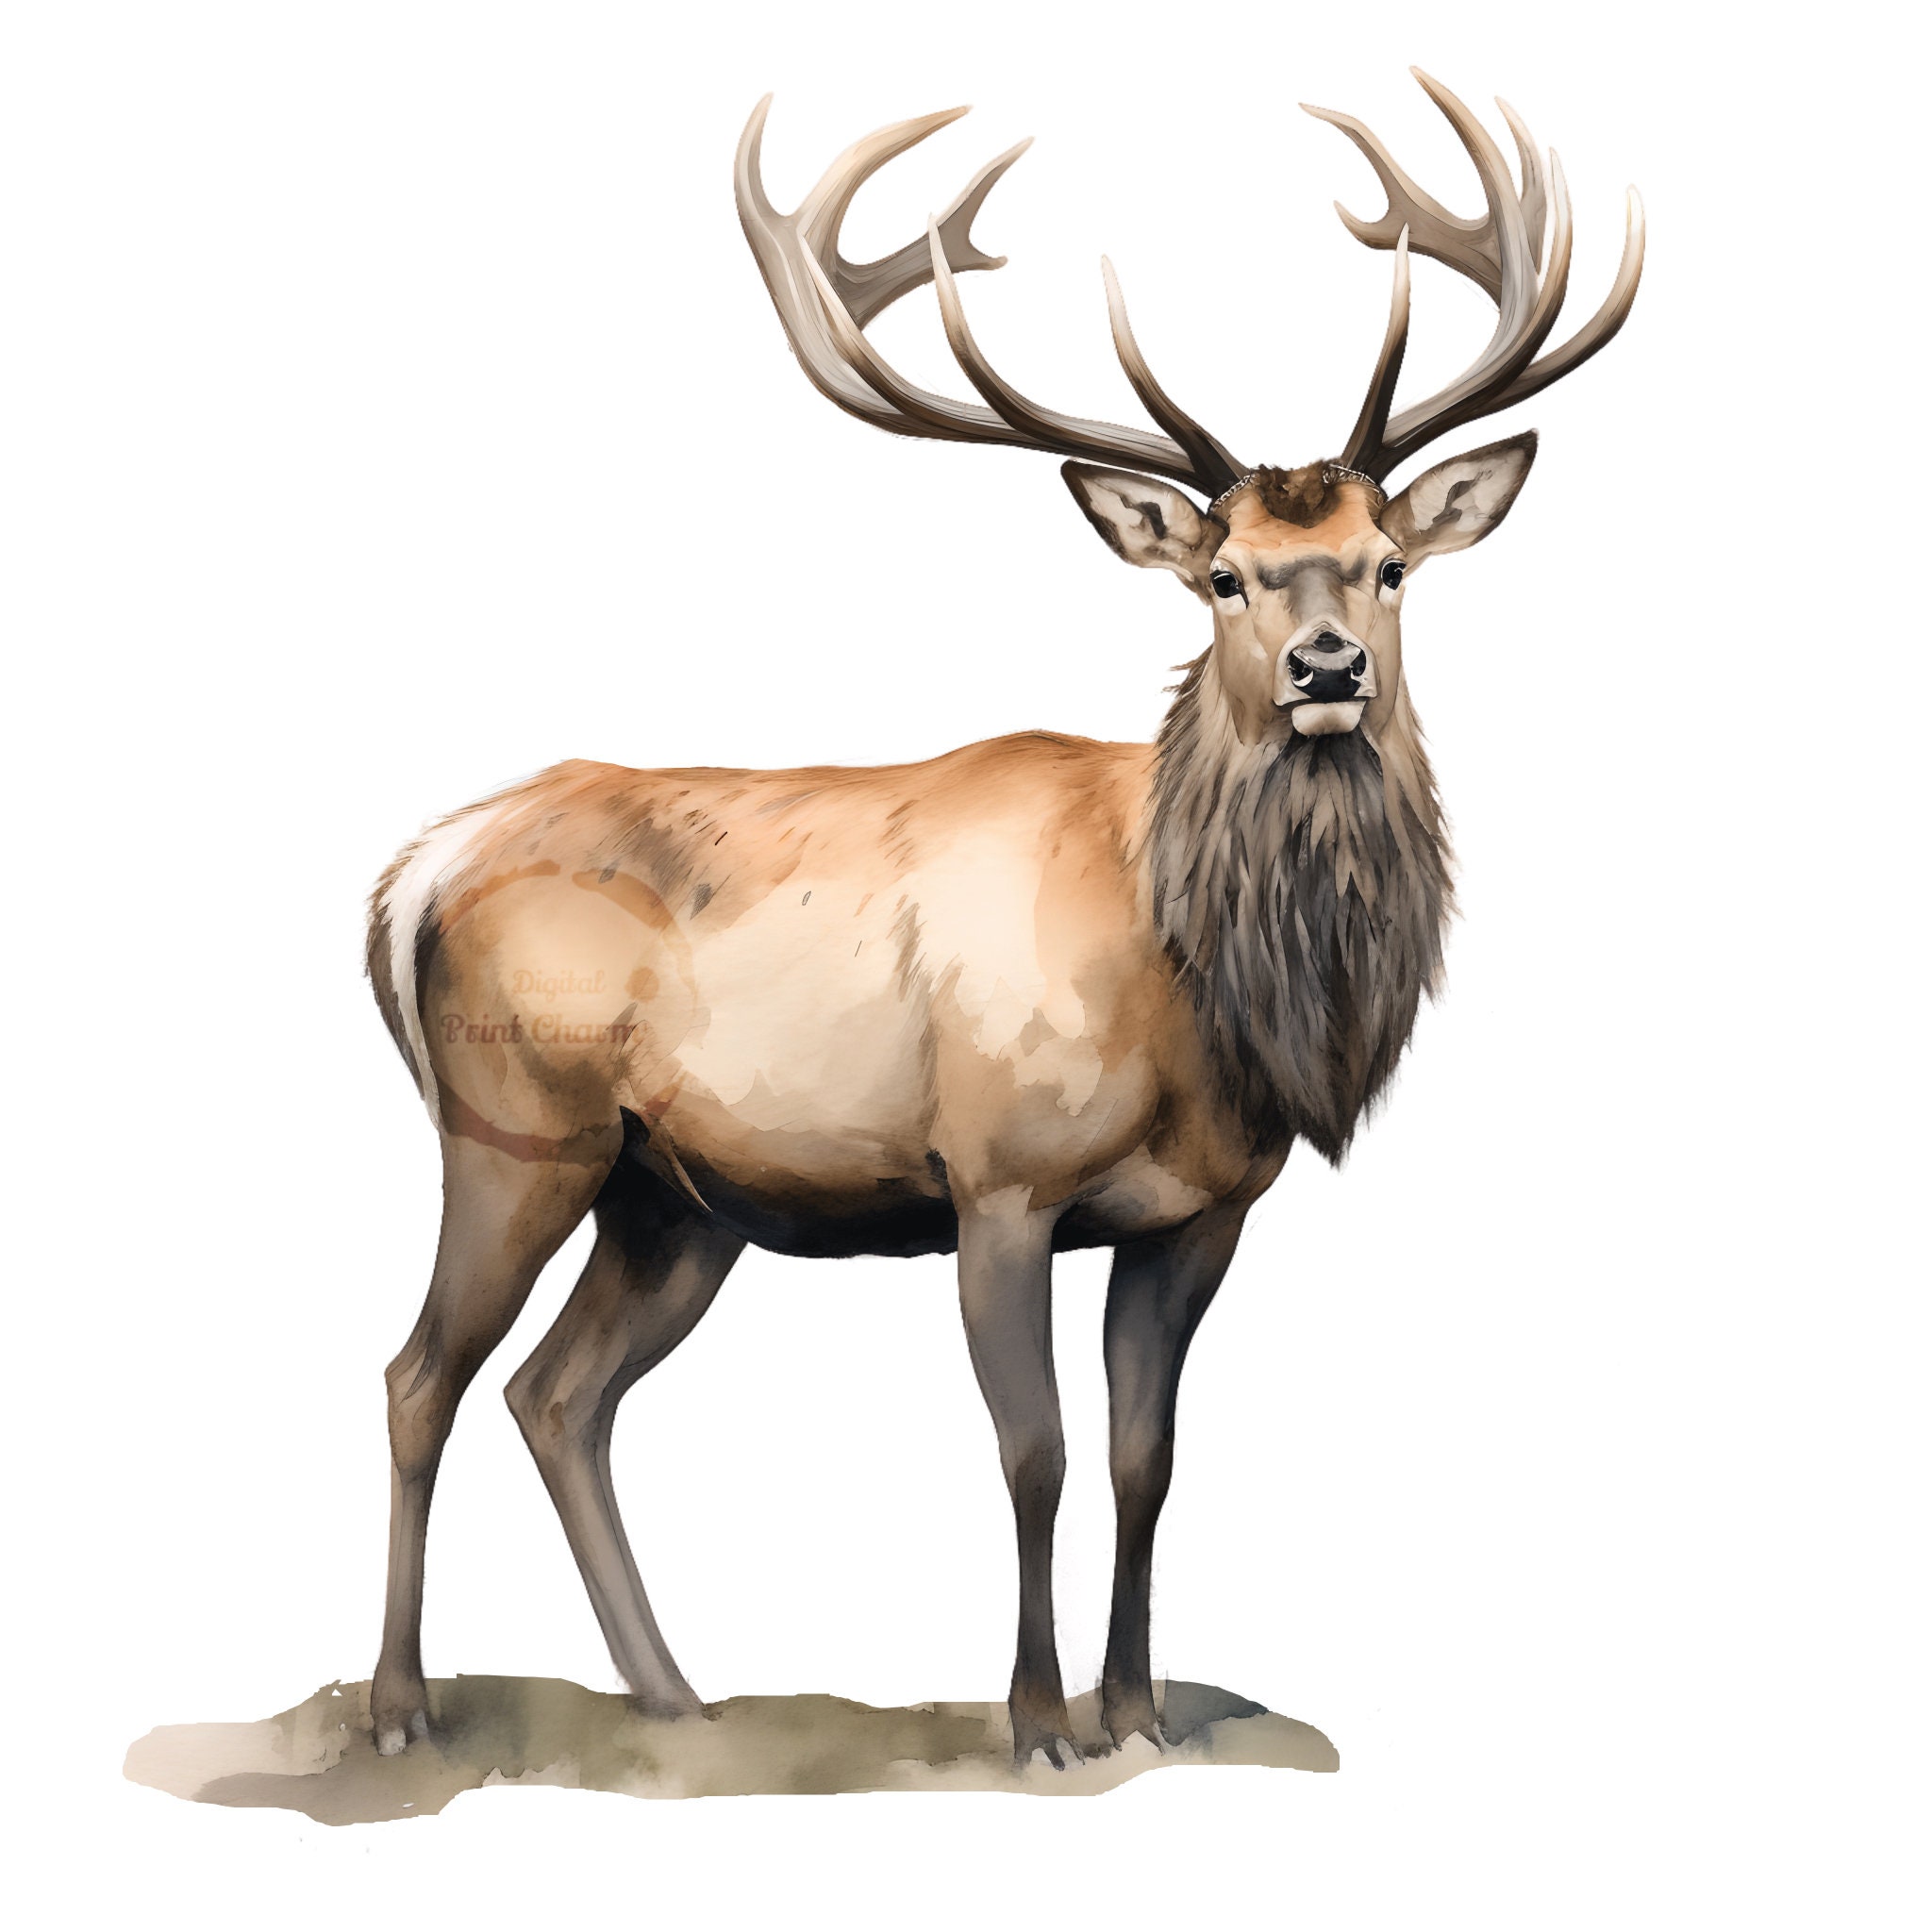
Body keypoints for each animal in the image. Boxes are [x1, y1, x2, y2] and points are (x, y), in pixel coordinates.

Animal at [363, 71, 1643, 1766]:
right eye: (1224, 577)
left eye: (1386, 565)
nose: (1327, 668)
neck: (1200, 994)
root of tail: (416, 868)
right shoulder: (997, 1175)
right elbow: (1031, 1448)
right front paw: (1038, 1719)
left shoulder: (1197, 1212)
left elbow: (1144, 1456)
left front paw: (1139, 1710)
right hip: (516, 1130)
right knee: (421, 1374)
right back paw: (399, 1706)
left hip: (676, 1199)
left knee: (560, 1395)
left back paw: (675, 1695)